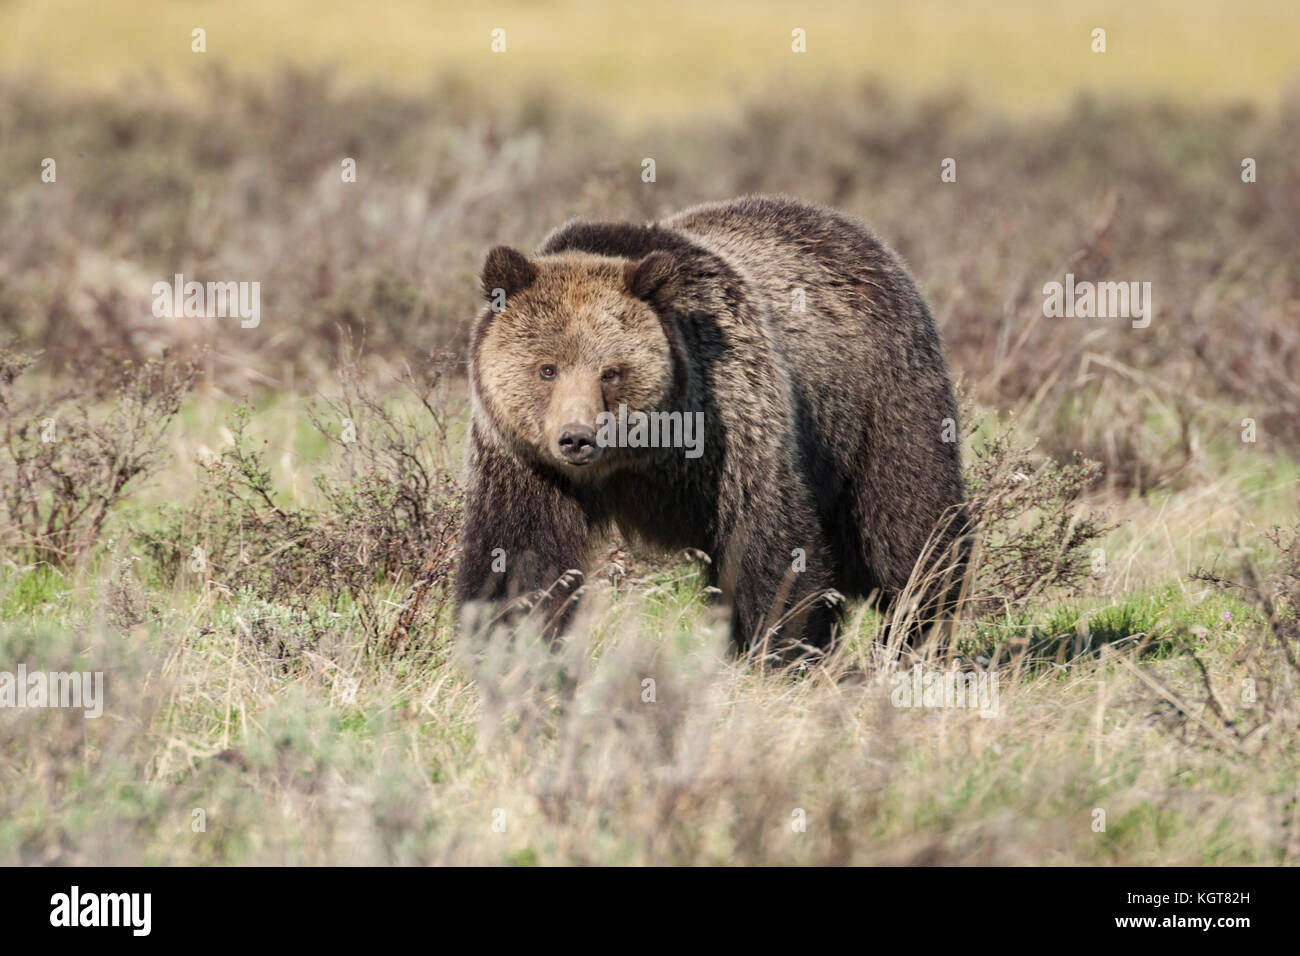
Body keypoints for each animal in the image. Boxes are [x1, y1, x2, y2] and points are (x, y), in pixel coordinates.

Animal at [456, 195, 967, 660]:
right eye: (547, 368)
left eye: (611, 371)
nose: (577, 438)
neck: (641, 456)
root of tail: (864, 237)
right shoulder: (525, 462)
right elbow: (519, 558)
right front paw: (511, 643)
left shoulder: (734, 424)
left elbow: (768, 543)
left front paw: (786, 649)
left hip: (882, 403)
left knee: (907, 527)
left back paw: (918, 633)